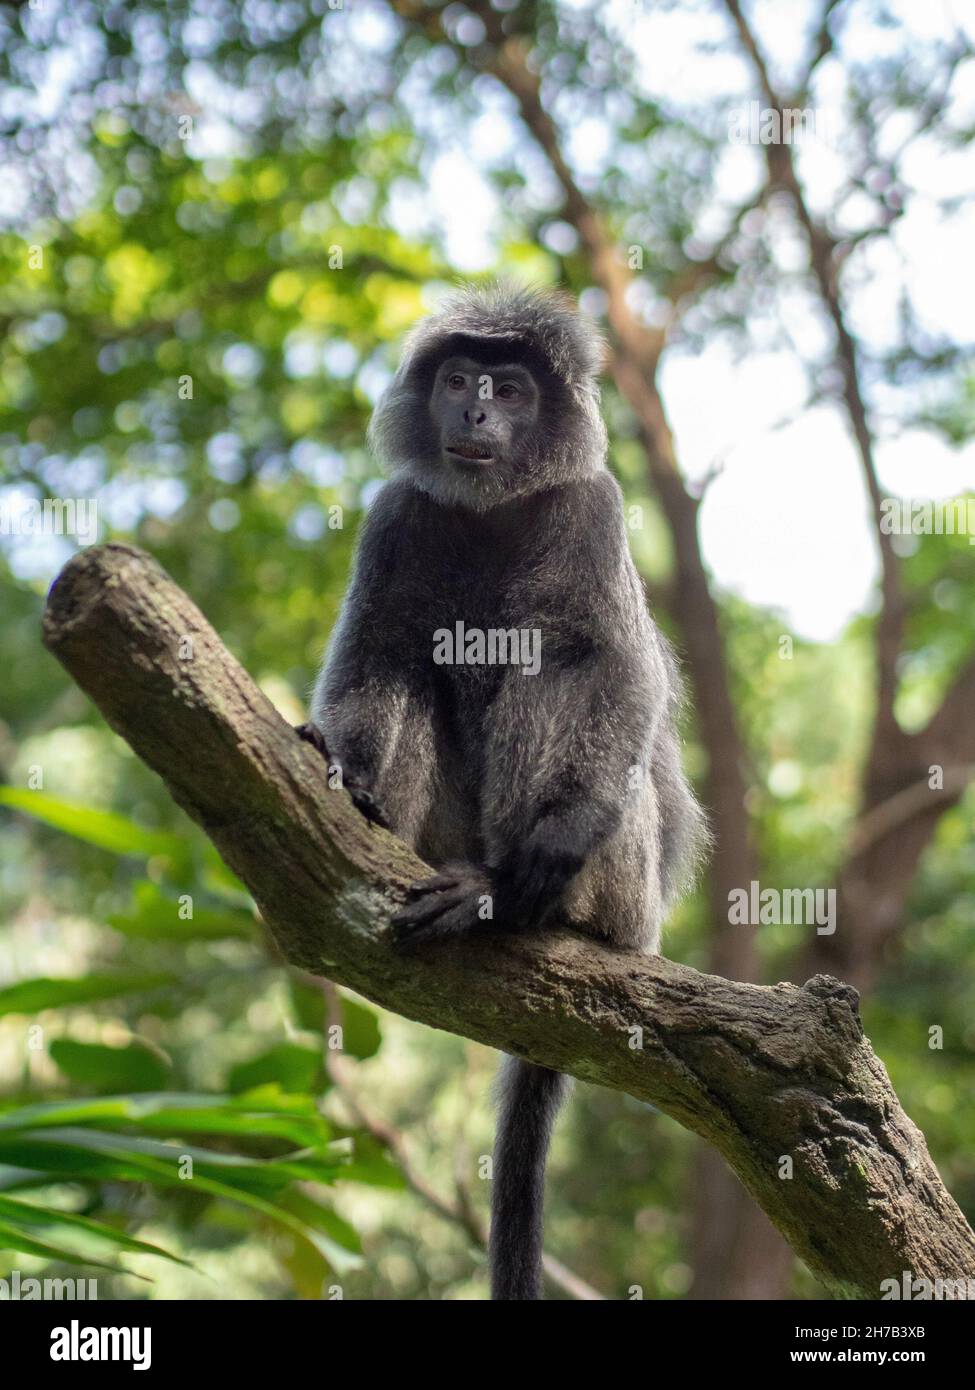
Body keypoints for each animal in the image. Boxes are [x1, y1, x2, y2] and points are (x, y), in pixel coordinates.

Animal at [298, 284, 706, 1300]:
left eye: (510, 389)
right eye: (457, 381)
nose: (476, 415)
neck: (489, 515)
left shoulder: (595, 511)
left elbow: (615, 668)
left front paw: (557, 839)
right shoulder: (394, 517)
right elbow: (374, 658)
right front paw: (343, 768)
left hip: (625, 896)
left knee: (553, 664)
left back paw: (512, 900)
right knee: (415, 671)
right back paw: (380, 821)